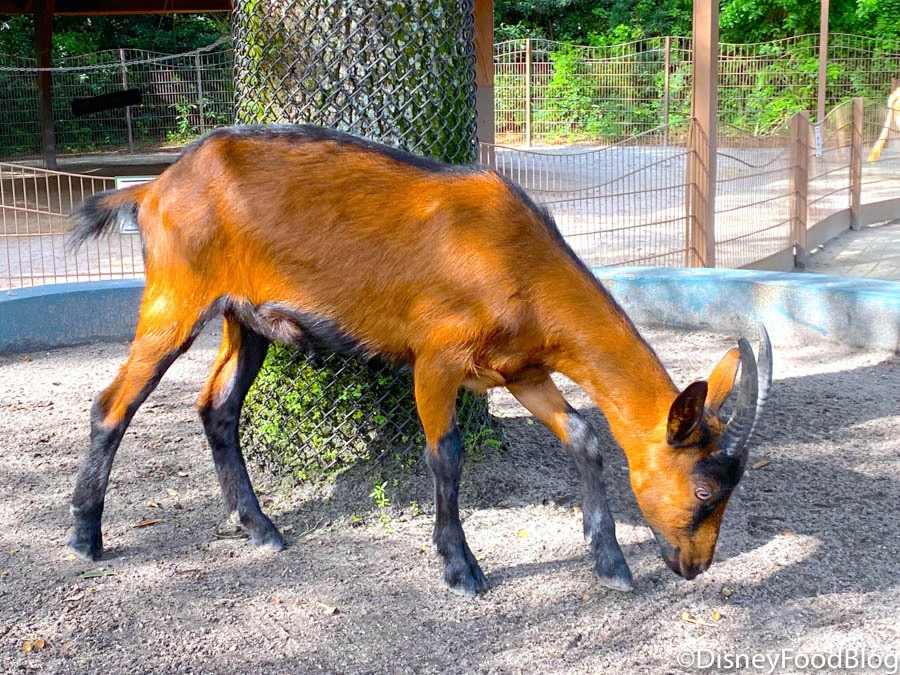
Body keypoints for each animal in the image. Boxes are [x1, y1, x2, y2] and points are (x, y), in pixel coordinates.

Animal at [67, 125, 772, 596]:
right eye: (705, 489)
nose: (695, 565)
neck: (515, 259)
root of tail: (154, 186)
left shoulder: (523, 370)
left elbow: (583, 433)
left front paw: (613, 564)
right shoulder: (436, 358)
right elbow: (447, 453)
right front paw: (461, 568)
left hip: (246, 319)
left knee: (217, 405)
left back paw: (261, 528)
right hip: (177, 296)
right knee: (113, 402)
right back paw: (84, 537)